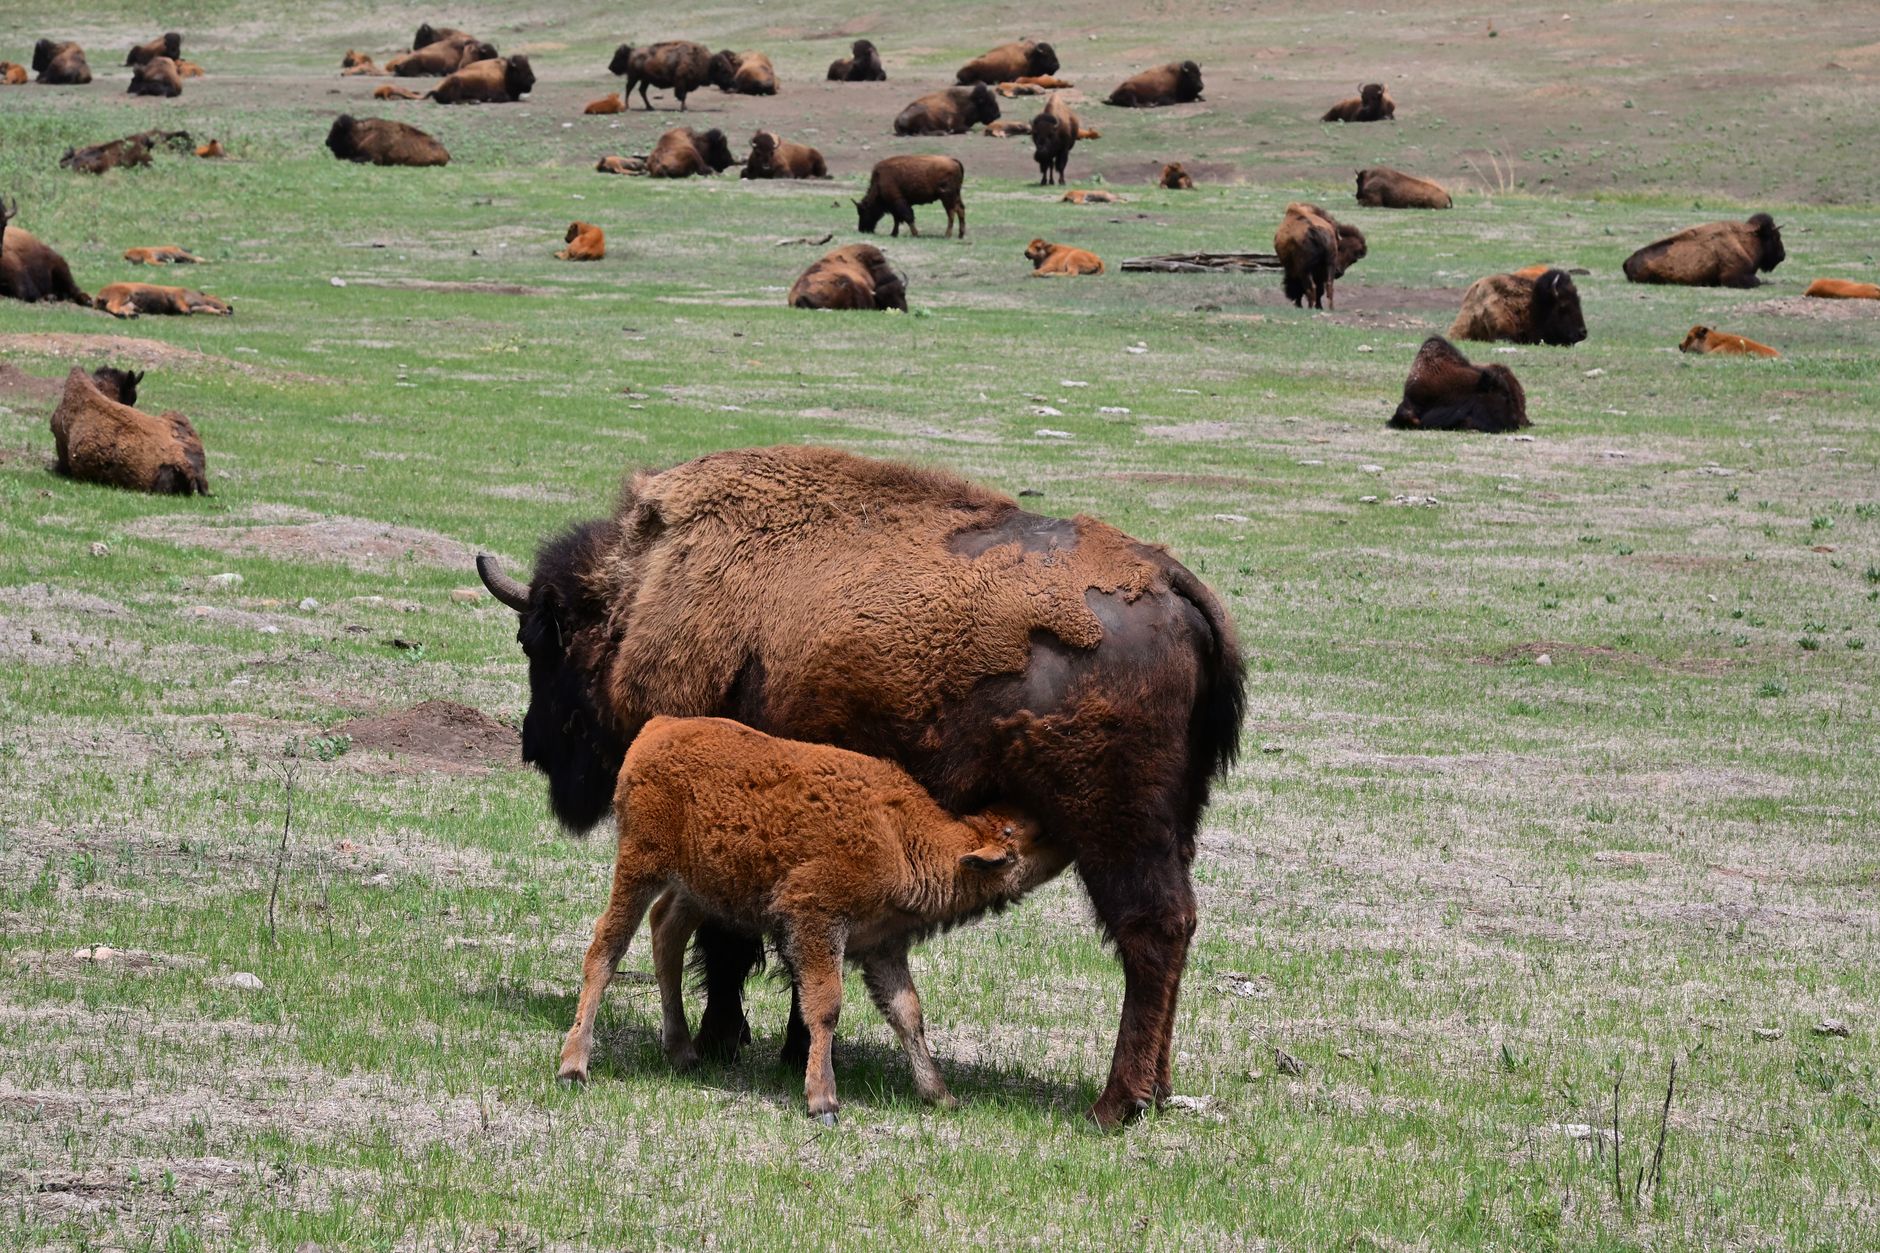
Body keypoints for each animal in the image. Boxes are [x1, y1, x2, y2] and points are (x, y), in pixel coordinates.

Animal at [472, 445, 1244, 1130]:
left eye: (539, 641)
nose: (531, 744)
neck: (644, 592)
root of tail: (1173, 583)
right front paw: (788, 1049)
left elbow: (731, 940)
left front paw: (729, 1039)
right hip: (1176, 824)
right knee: (1178, 928)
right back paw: (1158, 1090)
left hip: (1115, 829)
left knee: (1151, 929)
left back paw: (1115, 1104)